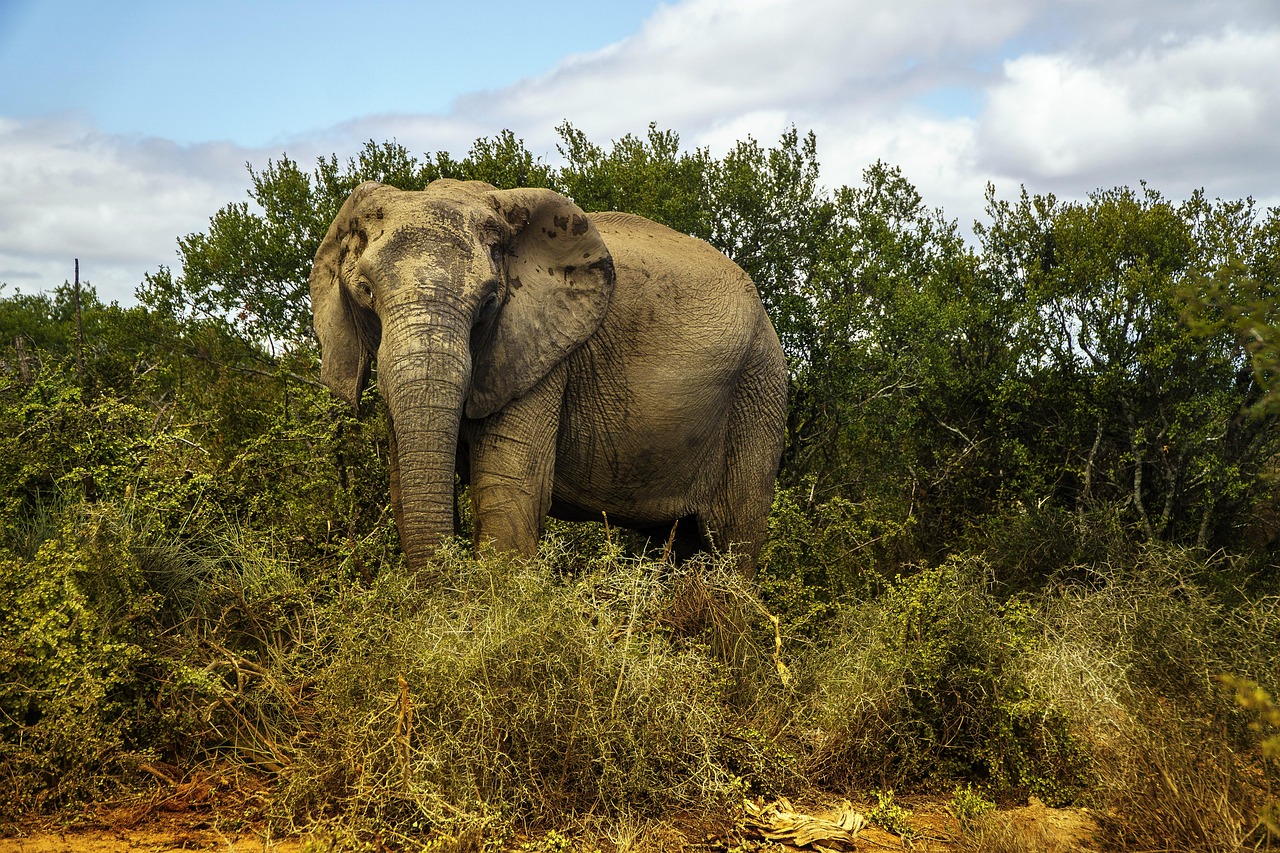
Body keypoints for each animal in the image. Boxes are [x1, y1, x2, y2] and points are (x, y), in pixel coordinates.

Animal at [310, 179, 788, 576]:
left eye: (489, 302)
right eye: (366, 292)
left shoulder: (542, 353)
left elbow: (509, 491)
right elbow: (401, 491)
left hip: (757, 388)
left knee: (733, 542)